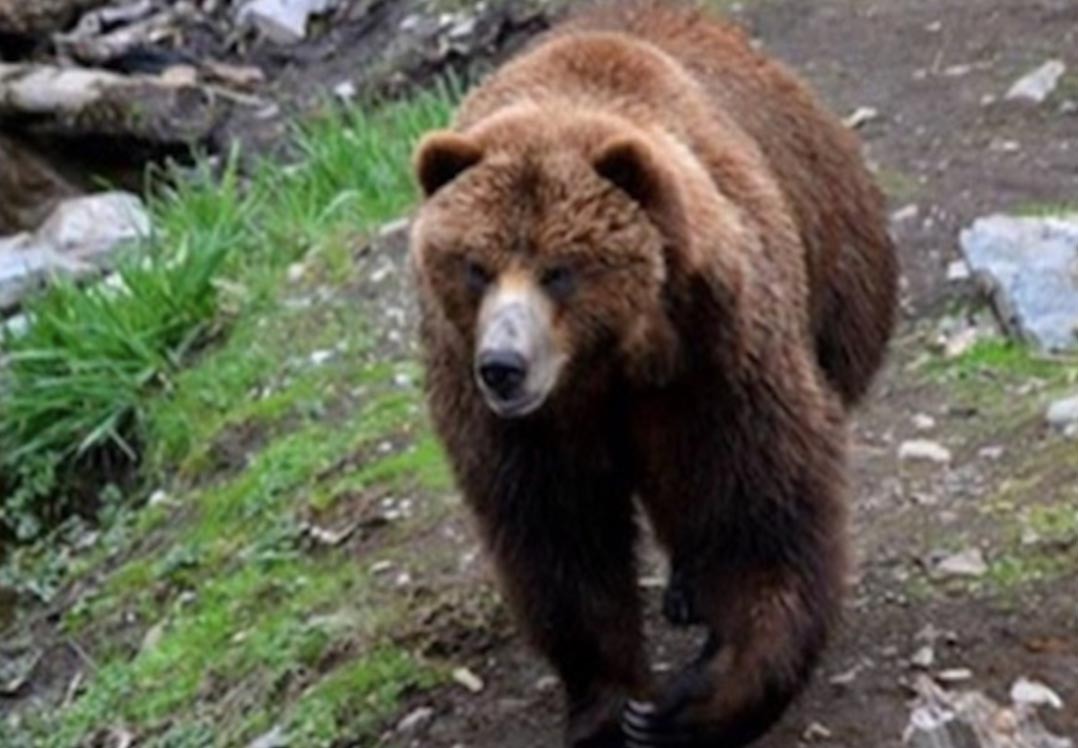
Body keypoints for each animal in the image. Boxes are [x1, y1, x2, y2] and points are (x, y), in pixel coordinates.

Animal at [409, 2, 897, 746]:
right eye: (474, 267)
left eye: (560, 270)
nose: (503, 367)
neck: (609, 365)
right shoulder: (516, 427)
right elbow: (560, 542)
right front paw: (612, 706)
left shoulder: (714, 359)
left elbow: (759, 503)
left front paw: (687, 704)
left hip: (837, 275)